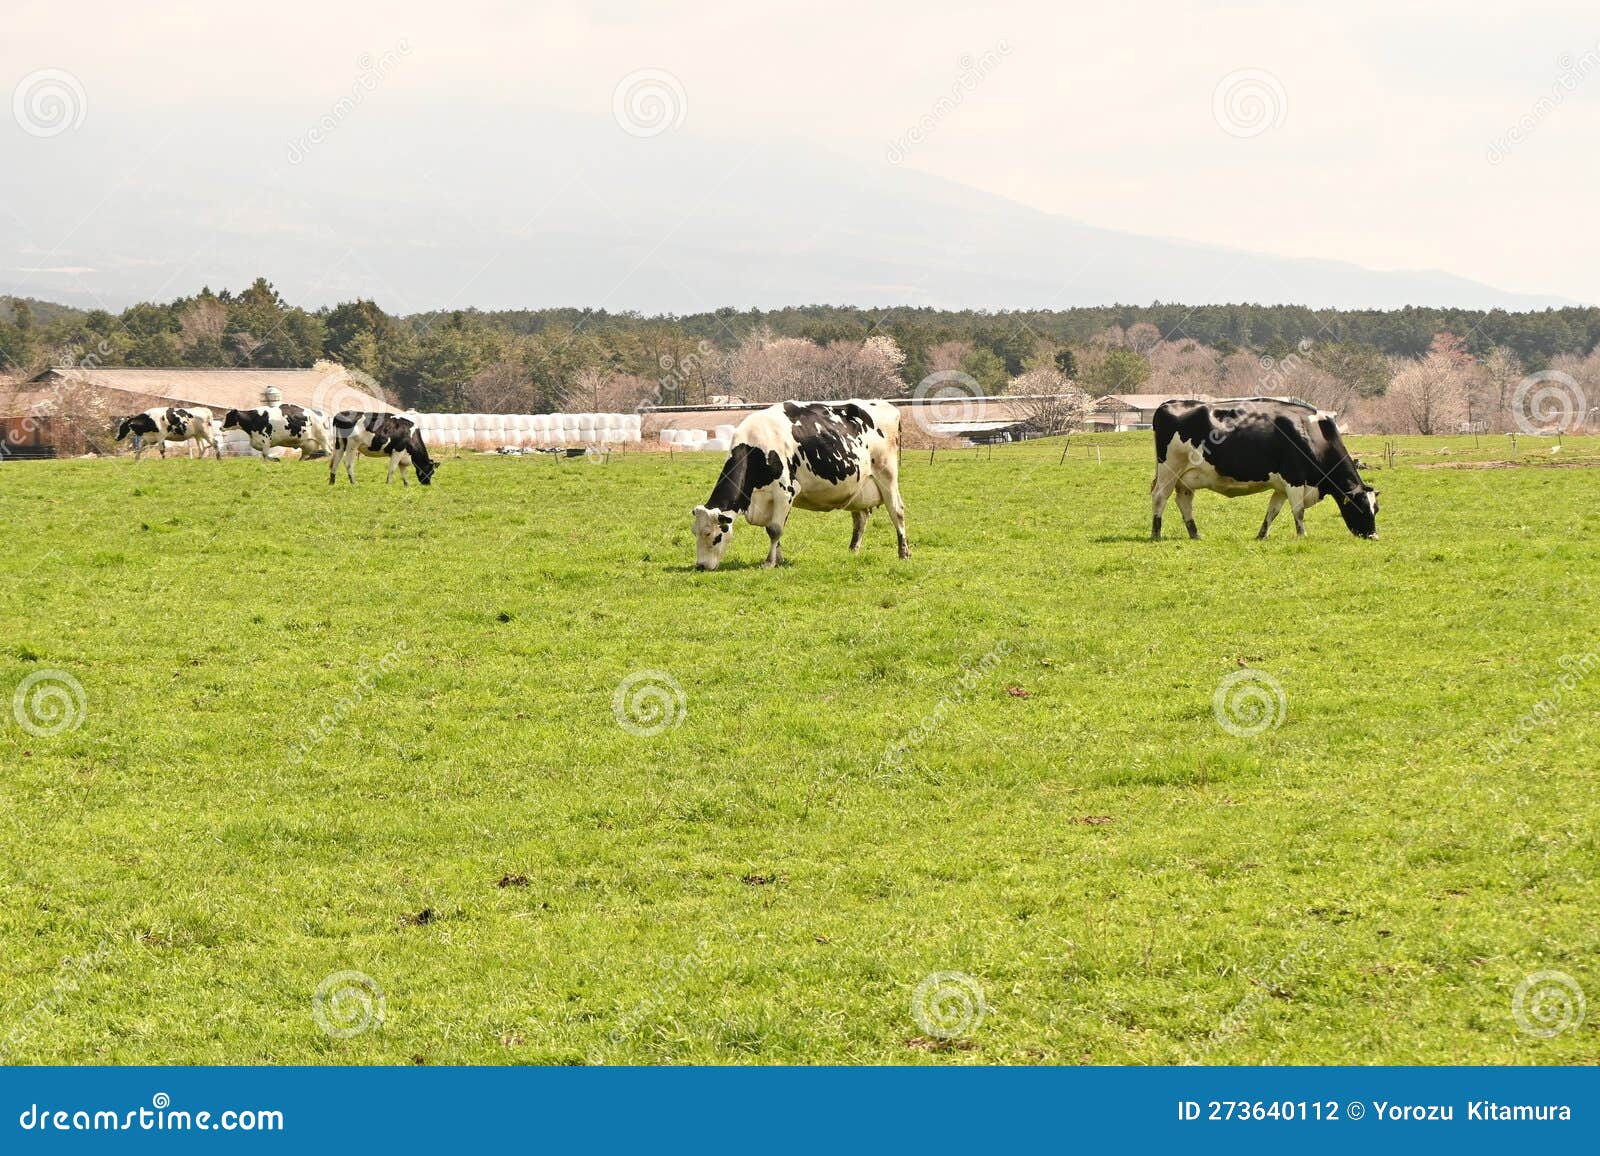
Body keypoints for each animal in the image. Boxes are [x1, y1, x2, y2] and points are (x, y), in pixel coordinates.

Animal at [691, 399, 908, 571]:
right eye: (694, 532)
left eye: (712, 535)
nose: (701, 566)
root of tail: (888, 406)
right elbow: (774, 529)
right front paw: (779, 559)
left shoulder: (785, 491)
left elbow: (774, 529)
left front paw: (769, 562)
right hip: (858, 488)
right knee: (860, 518)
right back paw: (852, 551)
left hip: (887, 474)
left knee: (896, 511)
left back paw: (904, 553)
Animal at [1151, 398, 1378, 540]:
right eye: (1361, 508)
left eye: (1376, 509)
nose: (1374, 536)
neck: (1313, 434)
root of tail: (1168, 403)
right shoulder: (1294, 479)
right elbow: (1298, 511)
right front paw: (1302, 535)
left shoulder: (1282, 486)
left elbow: (1273, 511)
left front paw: (1262, 535)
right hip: (1169, 469)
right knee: (1160, 497)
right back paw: (1156, 533)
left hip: (1186, 477)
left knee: (1184, 501)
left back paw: (1195, 534)